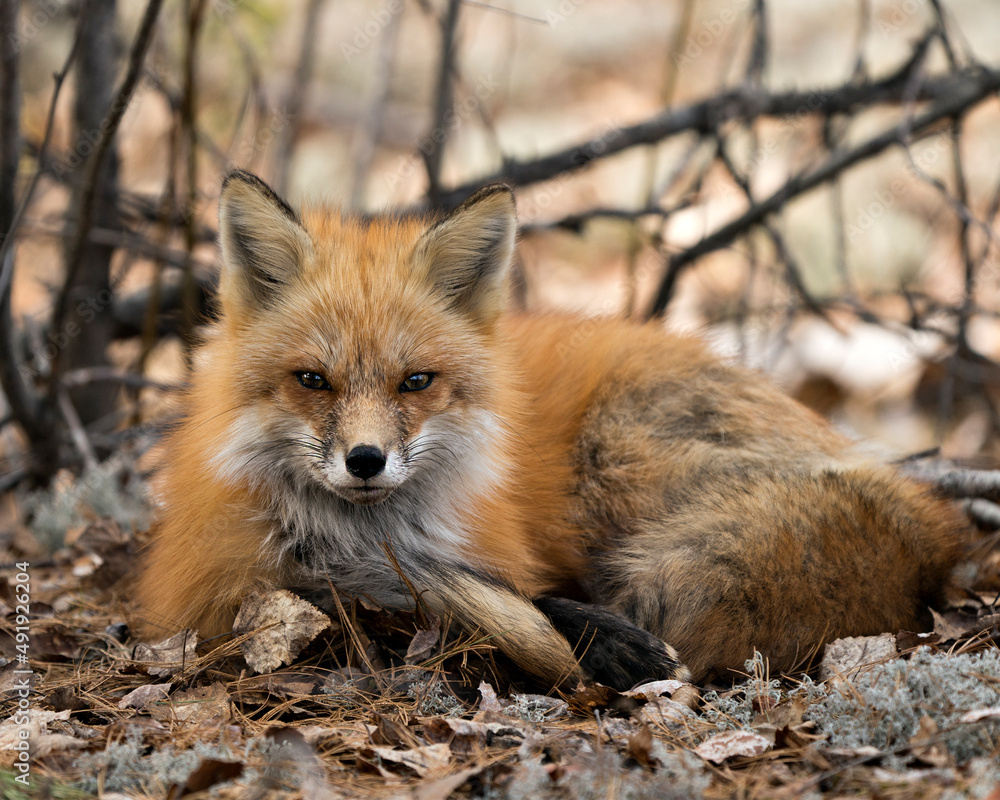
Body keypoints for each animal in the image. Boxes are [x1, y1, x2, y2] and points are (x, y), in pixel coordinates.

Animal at [133, 169, 969, 690]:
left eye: (415, 382)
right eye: (312, 380)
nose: (365, 460)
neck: (356, 540)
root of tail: (931, 532)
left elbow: (505, 595)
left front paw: (600, 636)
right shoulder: (212, 584)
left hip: (617, 469)